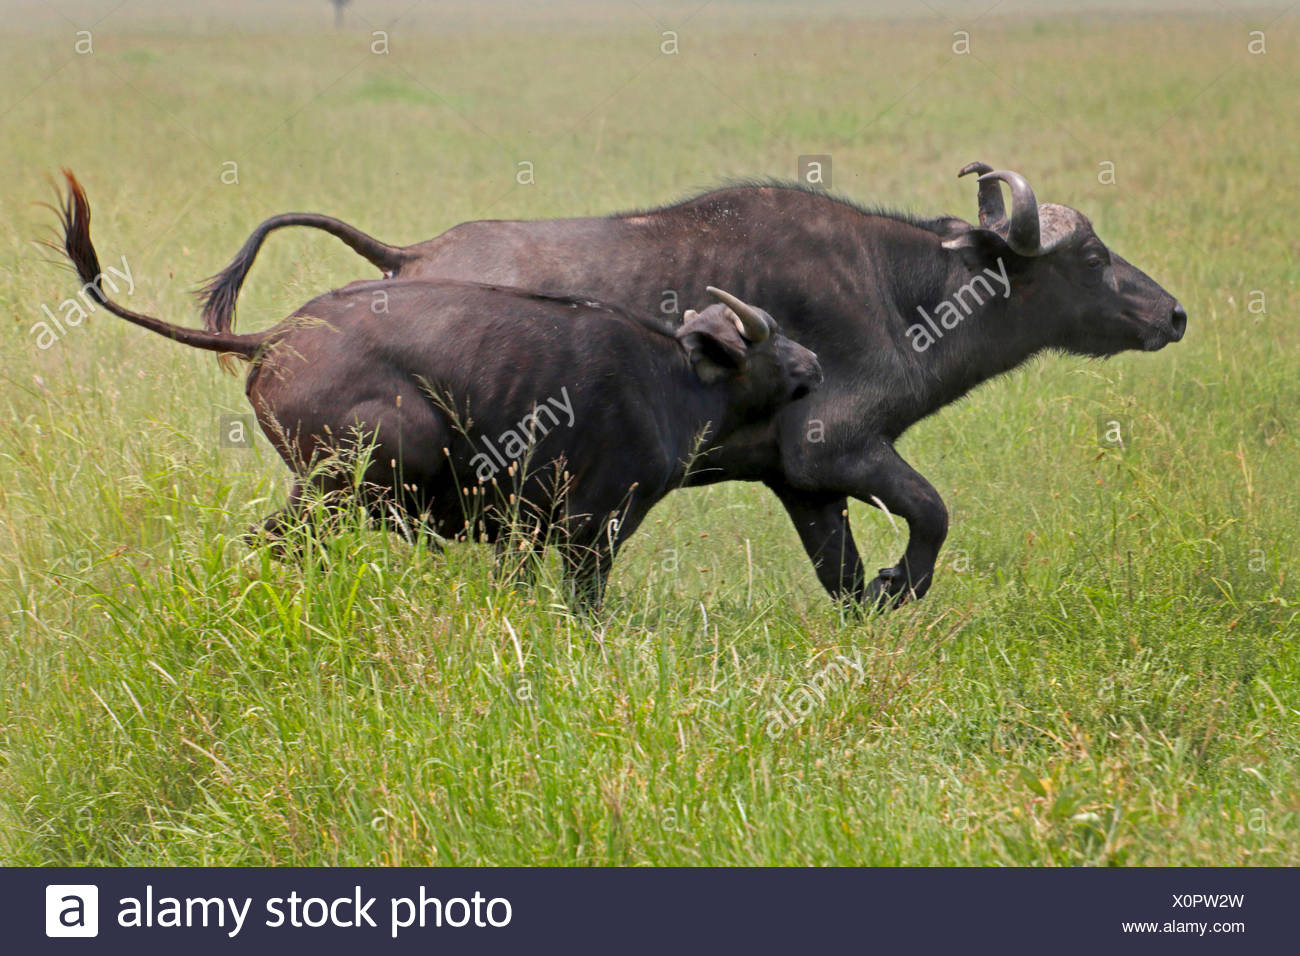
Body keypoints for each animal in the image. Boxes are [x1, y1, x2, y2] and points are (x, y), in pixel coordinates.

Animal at [53, 172, 822, 607]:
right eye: (765, 340)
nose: (813, 363)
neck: (668, 381)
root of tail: (275, 336)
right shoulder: (590, 533)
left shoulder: (526, 537)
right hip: (347, 480)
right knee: (273, 542)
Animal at [197, 162, 1186, 607]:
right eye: (1090, 257)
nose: (1172, 314)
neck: (897, 291)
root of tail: (408, 257)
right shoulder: (837, 450)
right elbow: (932, 514)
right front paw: (901, 583)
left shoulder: (802, 485)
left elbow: (843, 575)